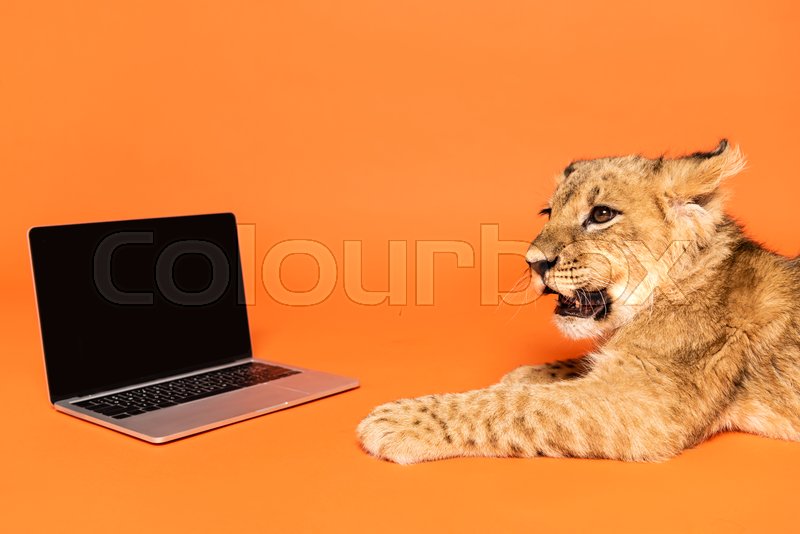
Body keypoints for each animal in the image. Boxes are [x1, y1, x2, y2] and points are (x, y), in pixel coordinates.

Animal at [357, 140, 800, 464]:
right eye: (548, 212)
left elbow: (516, 405)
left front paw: (397, 420)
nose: (534, 262)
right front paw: (529, 373)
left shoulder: (645, 406)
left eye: (601, 214)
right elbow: (568, 371)